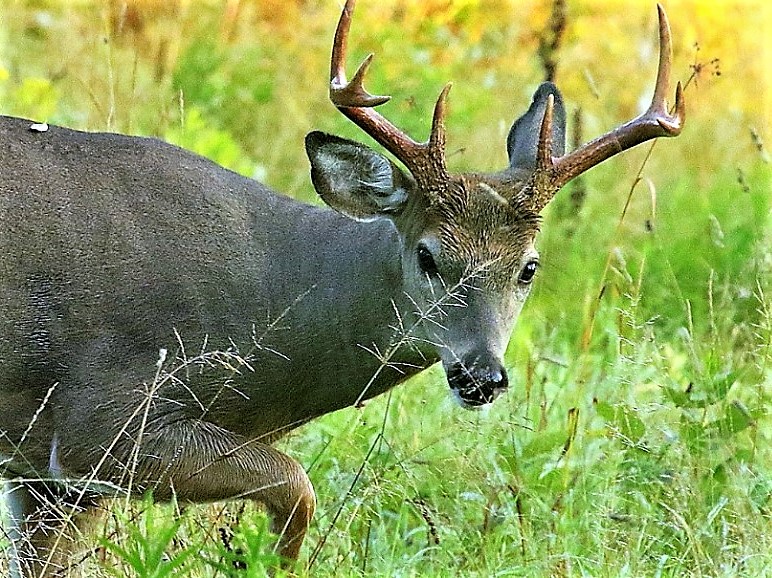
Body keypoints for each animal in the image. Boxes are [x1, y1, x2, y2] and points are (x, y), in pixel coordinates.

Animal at [0, 0, 683, 576]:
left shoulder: (47, 474)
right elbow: (297, 486)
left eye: (529, 268)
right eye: (428, 255)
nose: (481, 376)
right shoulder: (100, 420)